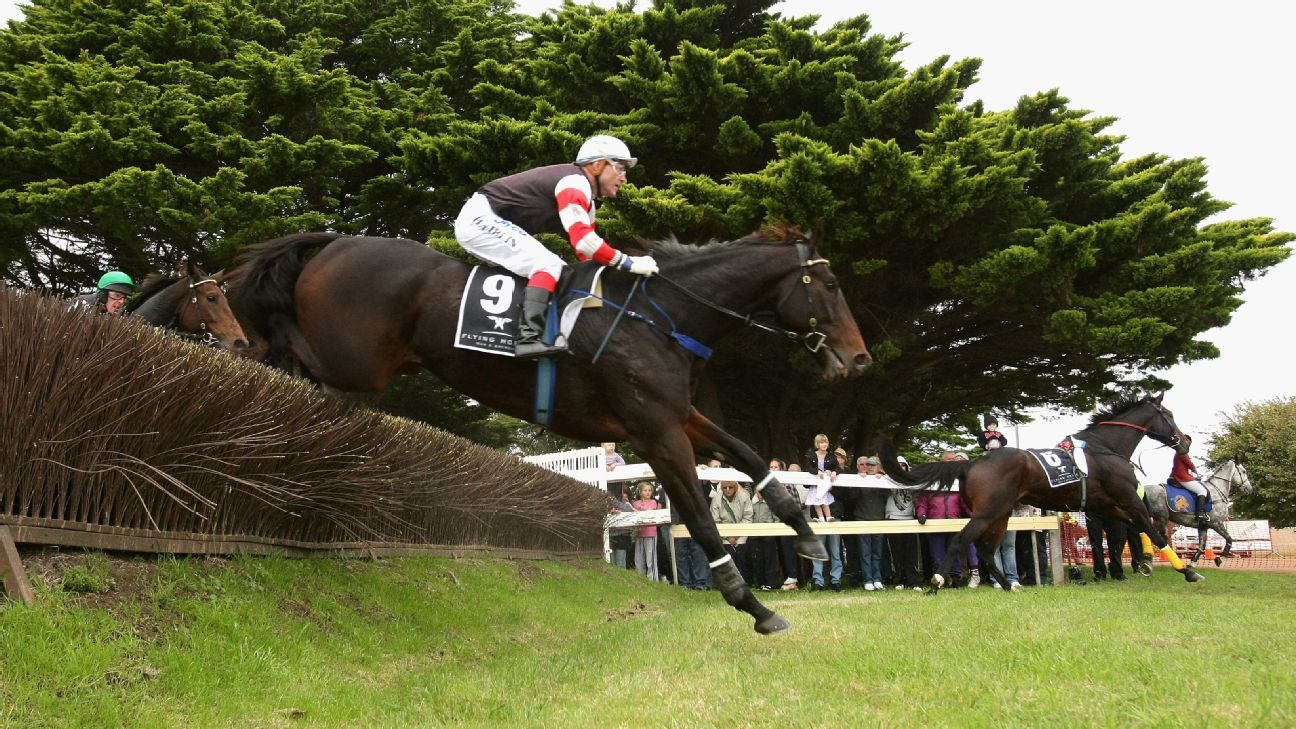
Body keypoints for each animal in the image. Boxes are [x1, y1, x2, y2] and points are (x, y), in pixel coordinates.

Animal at [226, 227, 872, 633]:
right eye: (831, 286)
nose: (859, 359)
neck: (659, 317)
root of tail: (335, 242)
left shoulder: (676, 415)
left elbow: (749, 455)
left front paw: (806, 534)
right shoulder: (656, 433)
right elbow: (699, 516)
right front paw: (753, 605)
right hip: (356, 360)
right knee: (284, 343)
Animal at [877, 394, 1206, 594]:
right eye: (1169, 415)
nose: (1185, 441)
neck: (1106, 448)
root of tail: (972, 463)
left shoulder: (1108, 505)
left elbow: (1140, 529)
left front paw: (1150, 563)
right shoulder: (1128, 499)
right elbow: (1154, 529)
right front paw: (1188, 571)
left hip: (1001, 514)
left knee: (985, 551)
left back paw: (1009, 586)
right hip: (988, 513)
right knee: (962, 541)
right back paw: (935, 582)